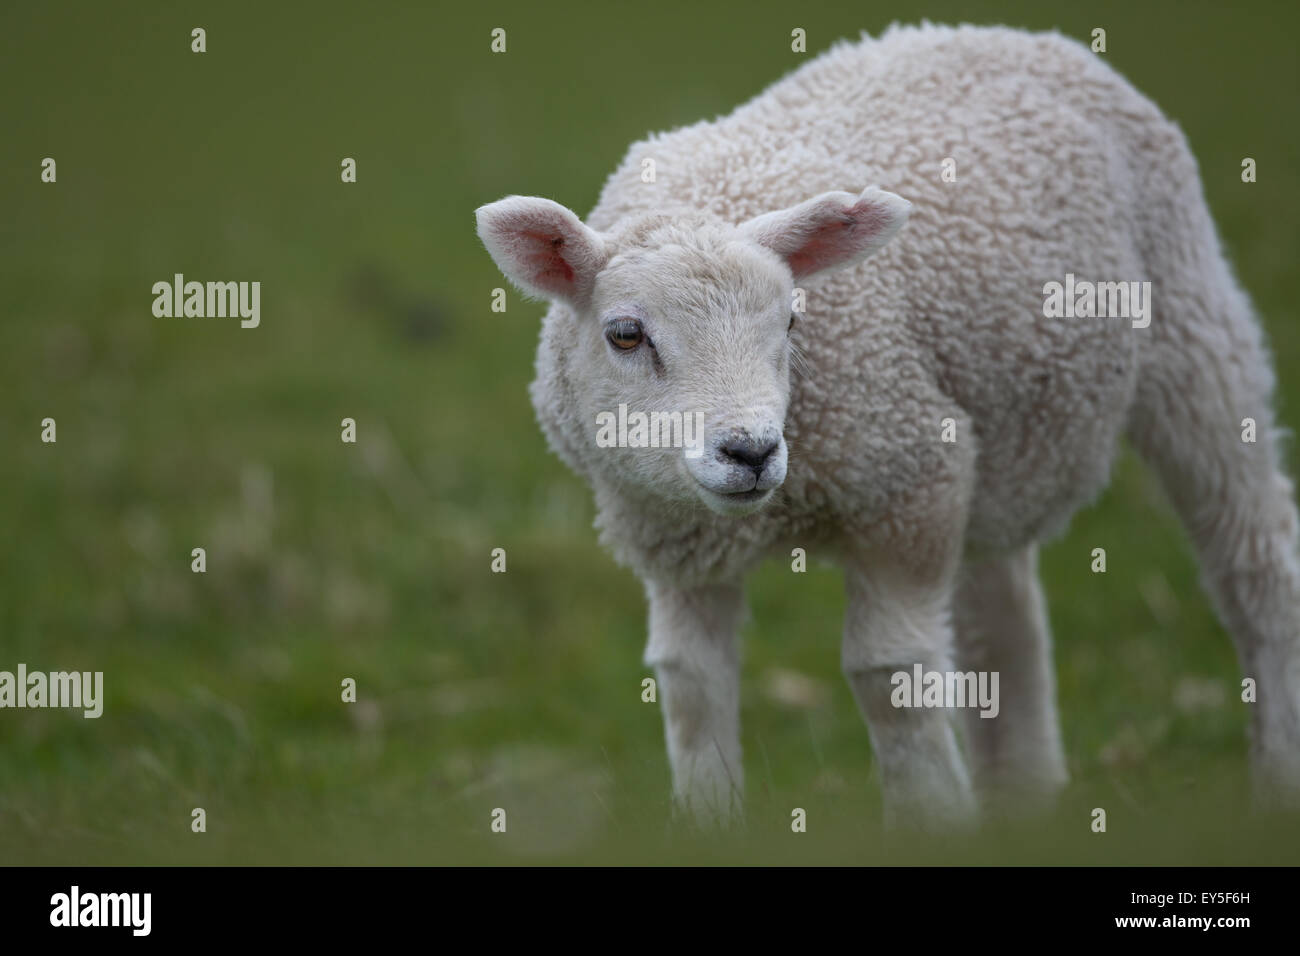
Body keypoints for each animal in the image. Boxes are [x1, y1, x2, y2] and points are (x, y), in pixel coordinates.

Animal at [475, 22, 1300, 832]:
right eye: (624, 334)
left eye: (793, 320)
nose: (751, 451)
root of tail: (1014, 32)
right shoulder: (674, 540)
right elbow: (690, 683)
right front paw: (709, 823)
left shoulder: (906, 483)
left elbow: (890, 674)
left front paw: (932, 818)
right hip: (990, 429)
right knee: (1003, 620)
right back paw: (1024, 801)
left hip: (1193, 326)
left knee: (1255, 563)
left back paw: (1275, 776)